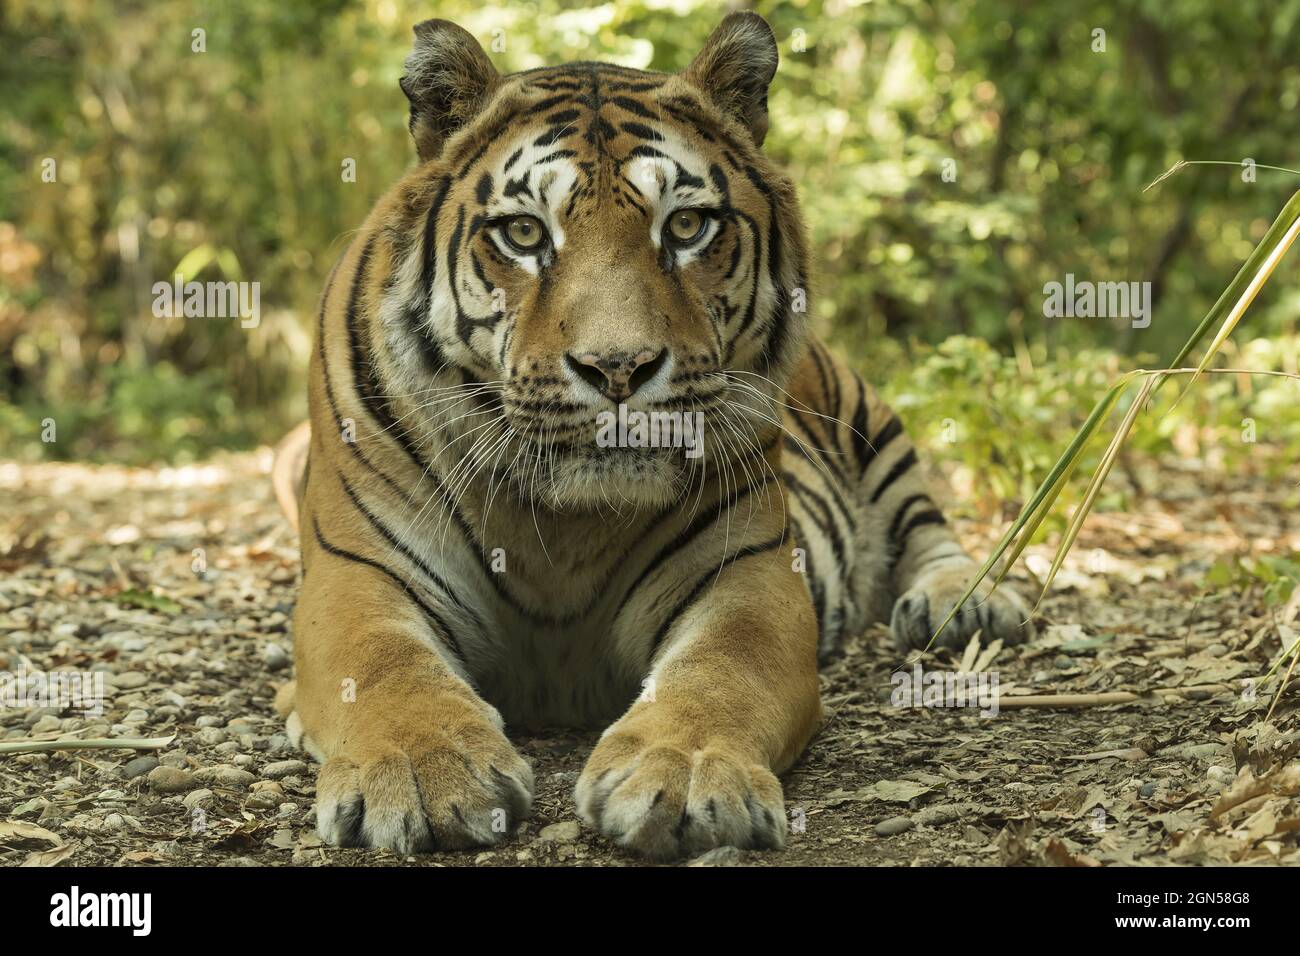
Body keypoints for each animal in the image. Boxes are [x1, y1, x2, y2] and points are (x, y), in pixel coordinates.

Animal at [270, 12, 1035, 862]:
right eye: (525, 232)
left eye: (688, 225)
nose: (618, 367)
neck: (560, 529)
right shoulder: (355, 575)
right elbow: (385, 666)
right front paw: (424, 771)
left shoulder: (748, 574)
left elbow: (720, 672)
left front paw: (685, 773)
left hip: (874, 424)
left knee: (929, 529)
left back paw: (960, 604)